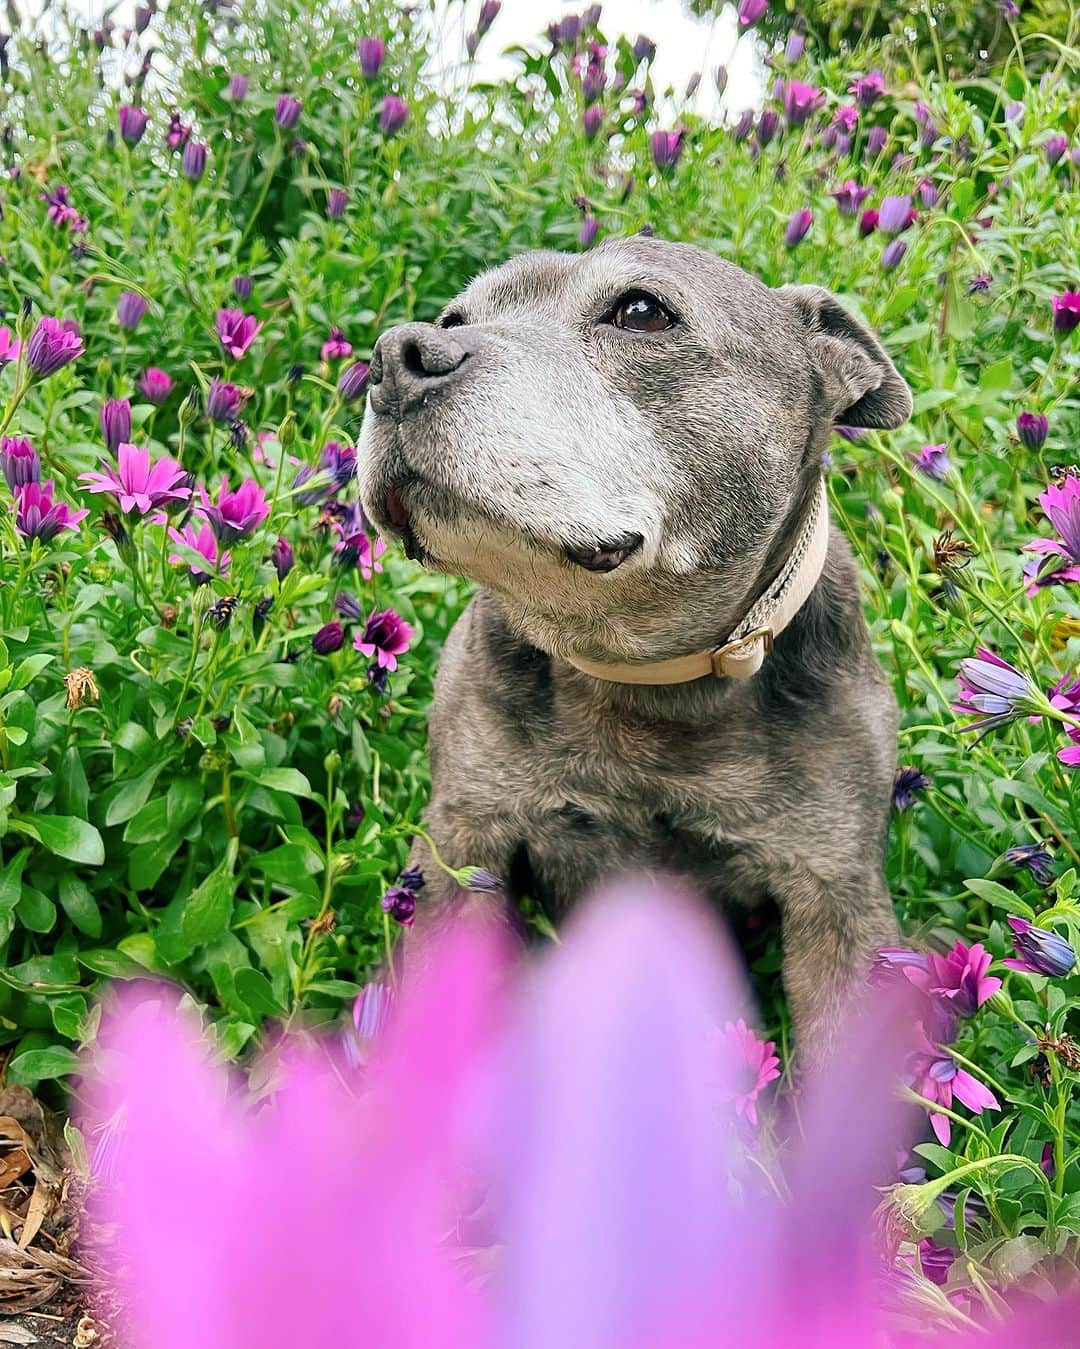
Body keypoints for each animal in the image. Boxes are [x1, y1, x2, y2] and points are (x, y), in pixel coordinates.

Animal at [361, 234, 911, 1063]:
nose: (397, 354)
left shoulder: (836, 902)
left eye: (642, 311)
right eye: (455, 316)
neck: (640, 672)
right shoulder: (464, 845)